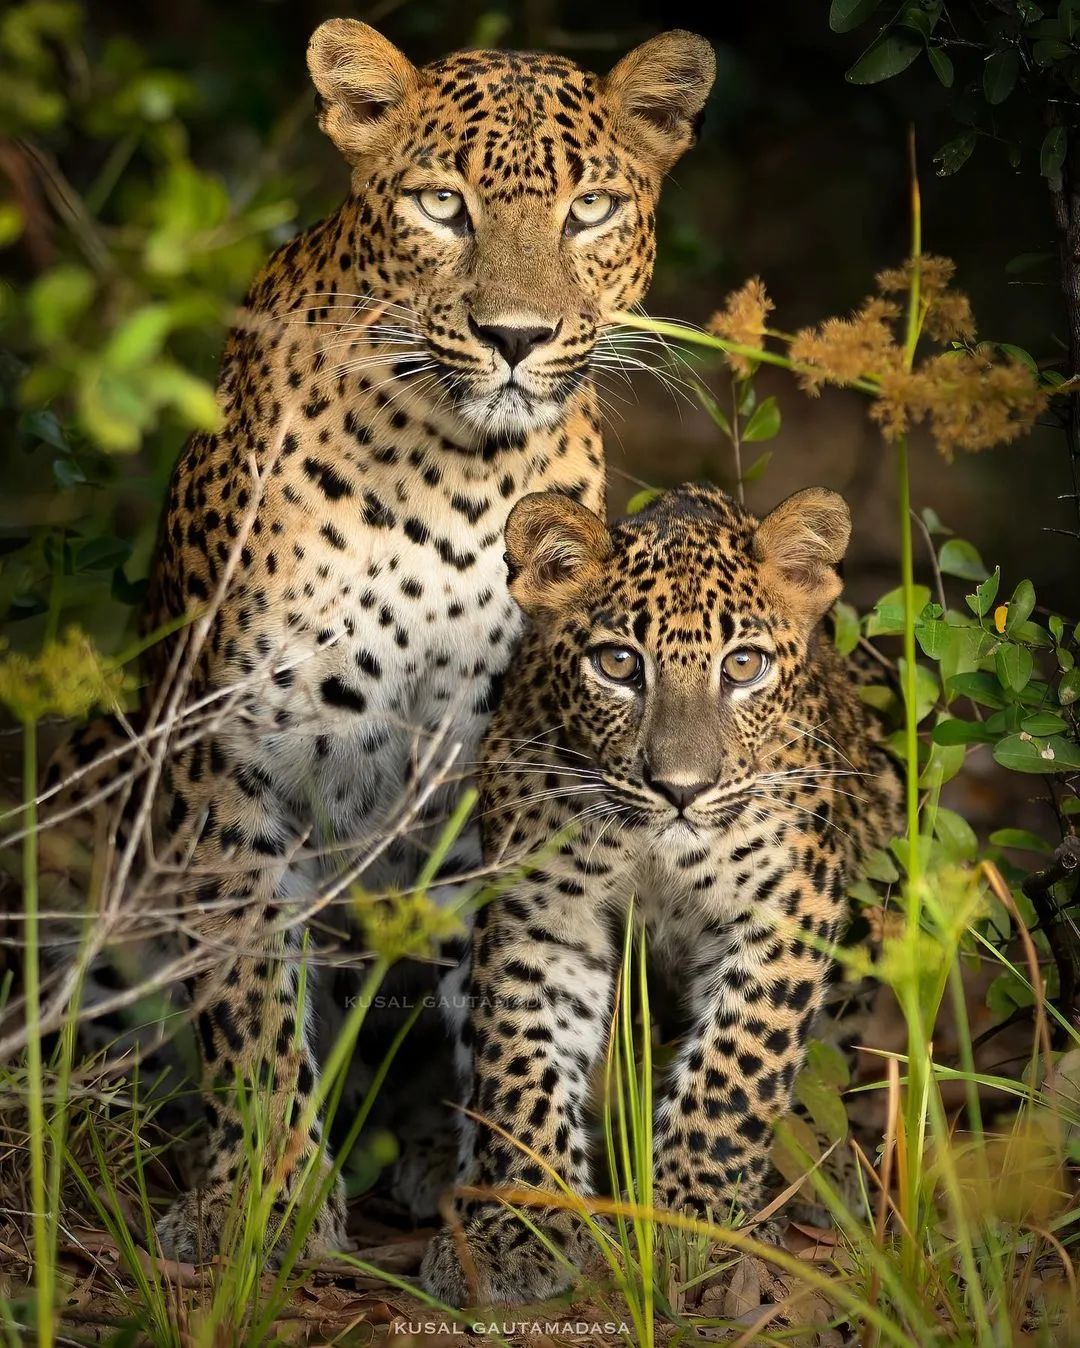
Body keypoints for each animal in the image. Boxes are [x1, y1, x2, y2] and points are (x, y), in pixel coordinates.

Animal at [32, 20, 716, 1264]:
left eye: (590, 210)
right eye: (443, 206)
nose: (513, 337)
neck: (456, 476)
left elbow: (508, 991)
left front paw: (511, 1195)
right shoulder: (228, 756)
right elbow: (249, 990)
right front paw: (266, 1194)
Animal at [420, 481, 903, 1305]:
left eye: (743, 665)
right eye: (619, 664)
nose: (681, 789)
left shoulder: (788, 907)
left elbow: (734, 1071)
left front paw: (688, 1220)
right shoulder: (542, 916)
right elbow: (519, 1067)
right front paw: (521, 1225)